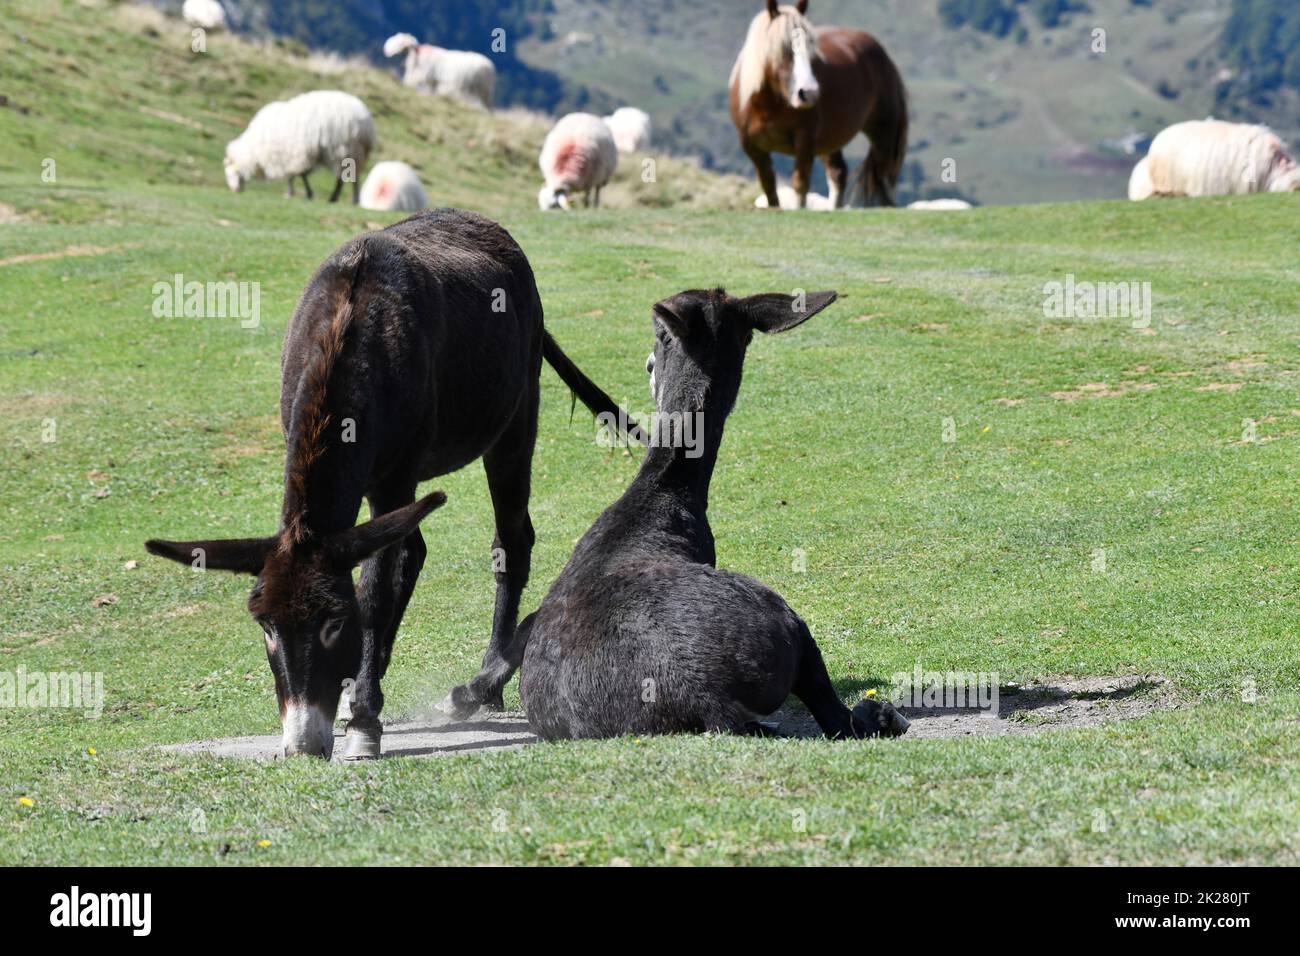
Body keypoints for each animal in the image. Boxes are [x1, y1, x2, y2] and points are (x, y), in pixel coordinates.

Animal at [223, 90, 374, 202]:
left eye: (230, 173)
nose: (234, 190)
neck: (253, 151)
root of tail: (366, 123)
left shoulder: (293, 155)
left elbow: (295, 175)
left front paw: (293, 193)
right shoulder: (296, 155)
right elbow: (301, 174)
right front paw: (306, 193)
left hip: (344, 150)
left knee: (346, 178)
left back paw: (343, 198)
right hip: (353, 152)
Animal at [728, 0, 909, 209]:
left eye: (812, 50)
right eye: (783, 49)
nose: (809, 93)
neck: (768, 107)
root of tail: (883, 55)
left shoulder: (805, 140)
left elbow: (800, 184)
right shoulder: (753, 148)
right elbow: (769, 187)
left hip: (883, 132)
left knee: (884, 175)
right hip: (831, 137)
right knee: (839, 173)